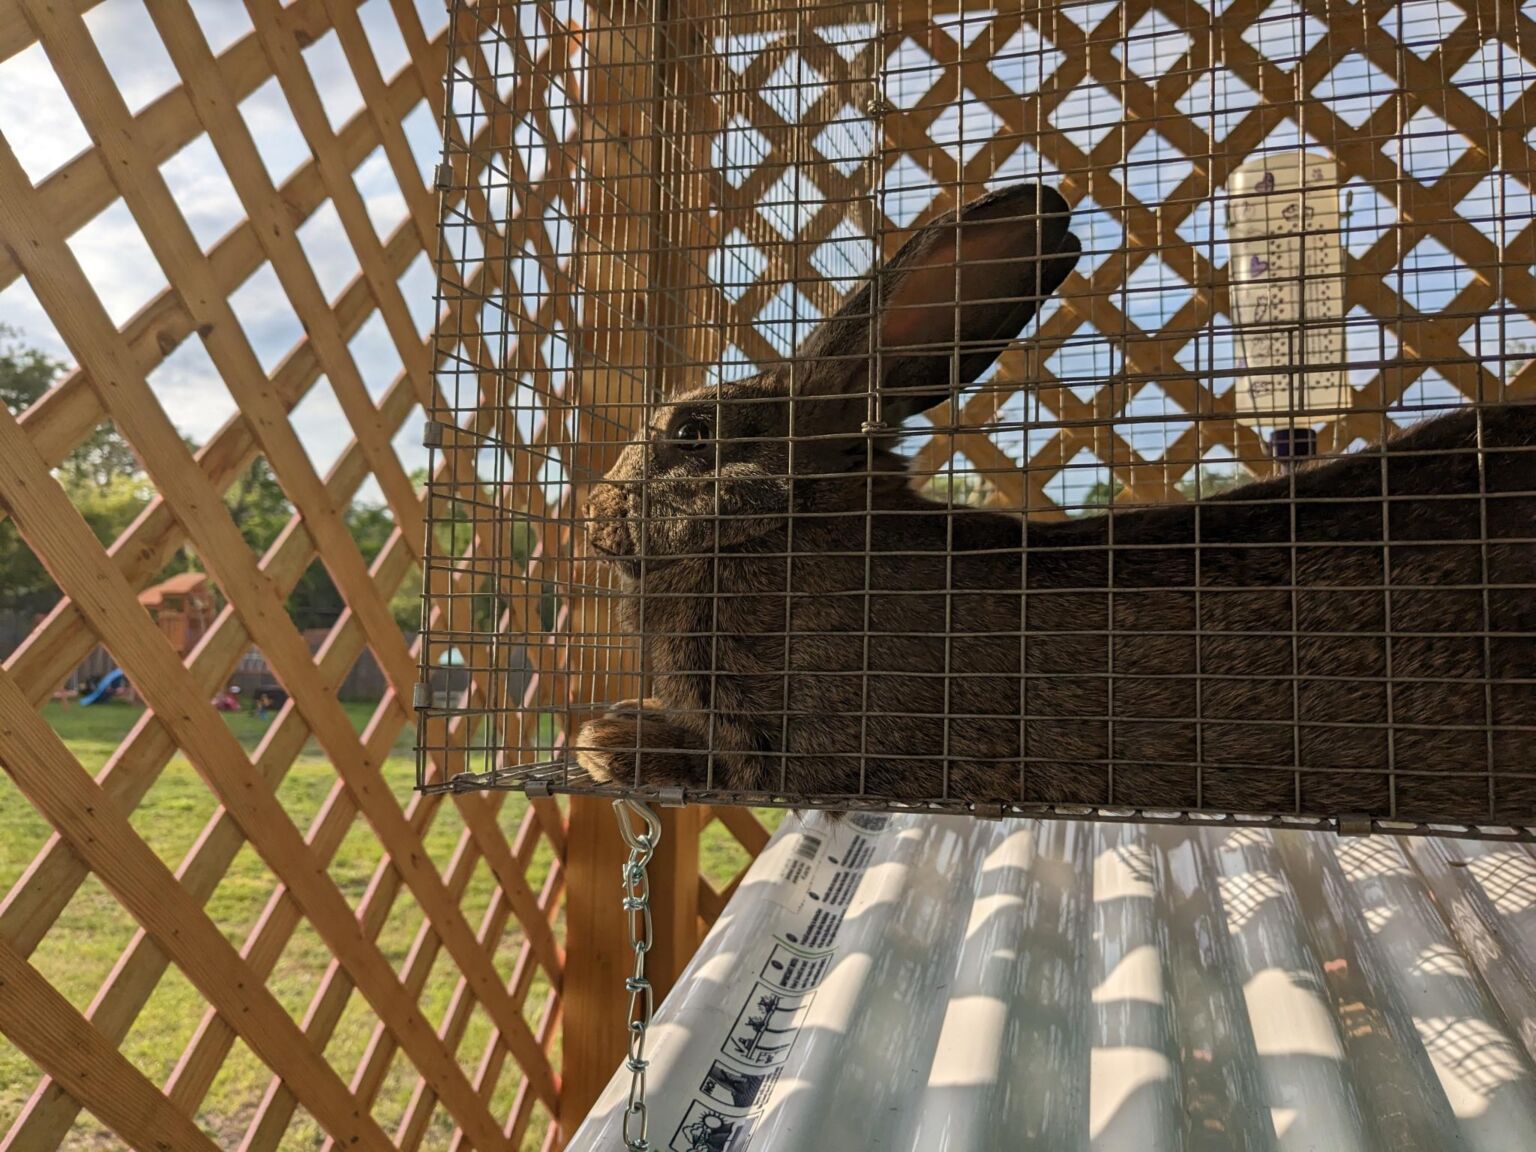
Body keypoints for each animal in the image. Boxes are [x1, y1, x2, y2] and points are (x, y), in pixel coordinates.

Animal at [577, 181, 1536, 825]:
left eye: (693, 432)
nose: (593, 515)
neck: (790, 522)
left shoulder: (812, 747)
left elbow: (735, 770)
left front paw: (608, 741)